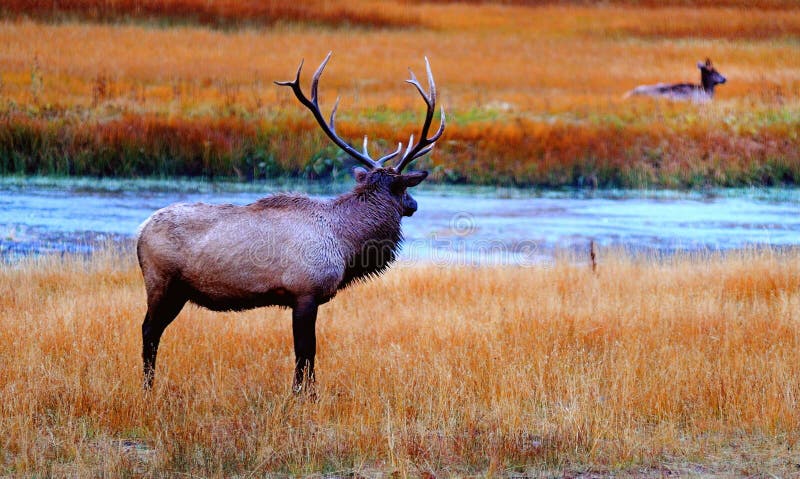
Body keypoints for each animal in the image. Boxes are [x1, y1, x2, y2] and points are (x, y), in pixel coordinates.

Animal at [136, 52, 445, 392]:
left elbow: (305, 354)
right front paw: (305, 395)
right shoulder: (305, 292)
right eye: (403, 189)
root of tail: (139, 231)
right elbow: (306, 353)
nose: (414, 205)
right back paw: (148, 388)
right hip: (162, 282)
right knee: (149, 330)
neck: (346, 244)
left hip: (177, 291)